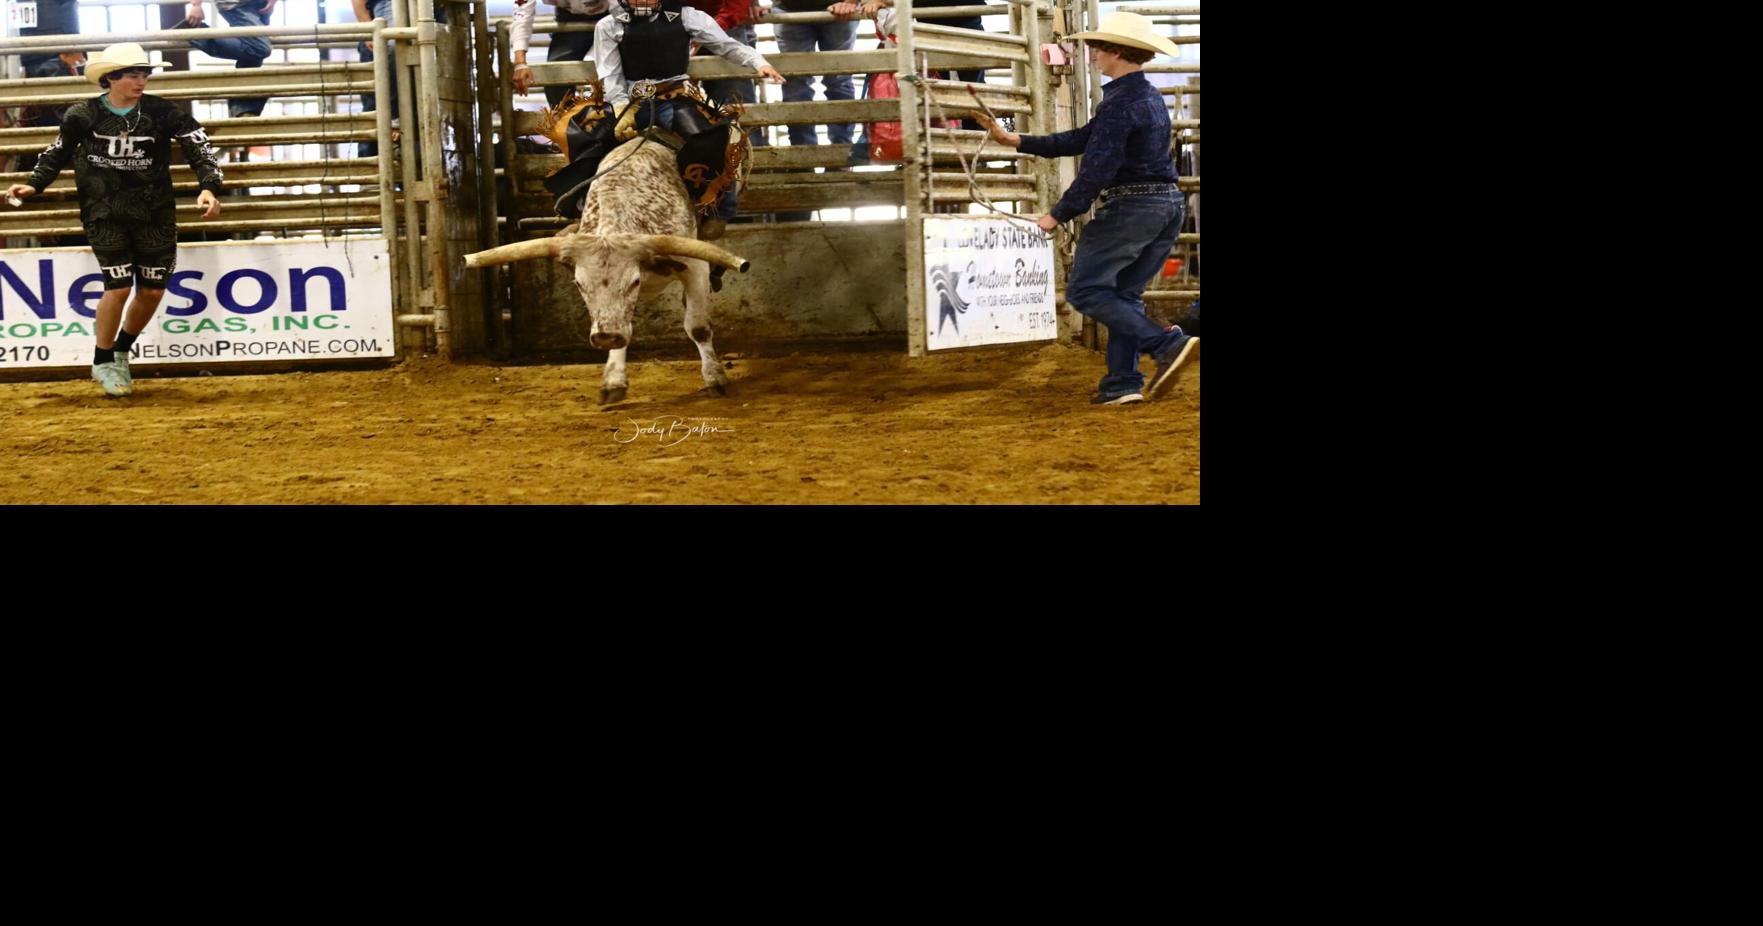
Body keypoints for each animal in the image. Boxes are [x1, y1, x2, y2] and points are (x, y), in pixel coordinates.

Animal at [464, 135, 751, 405]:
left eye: (634, 281)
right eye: (579, 284)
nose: (605, 338)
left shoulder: (693, 266)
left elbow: (698, 326)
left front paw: (715, 378)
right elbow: (624, 327)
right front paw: (614, 380)